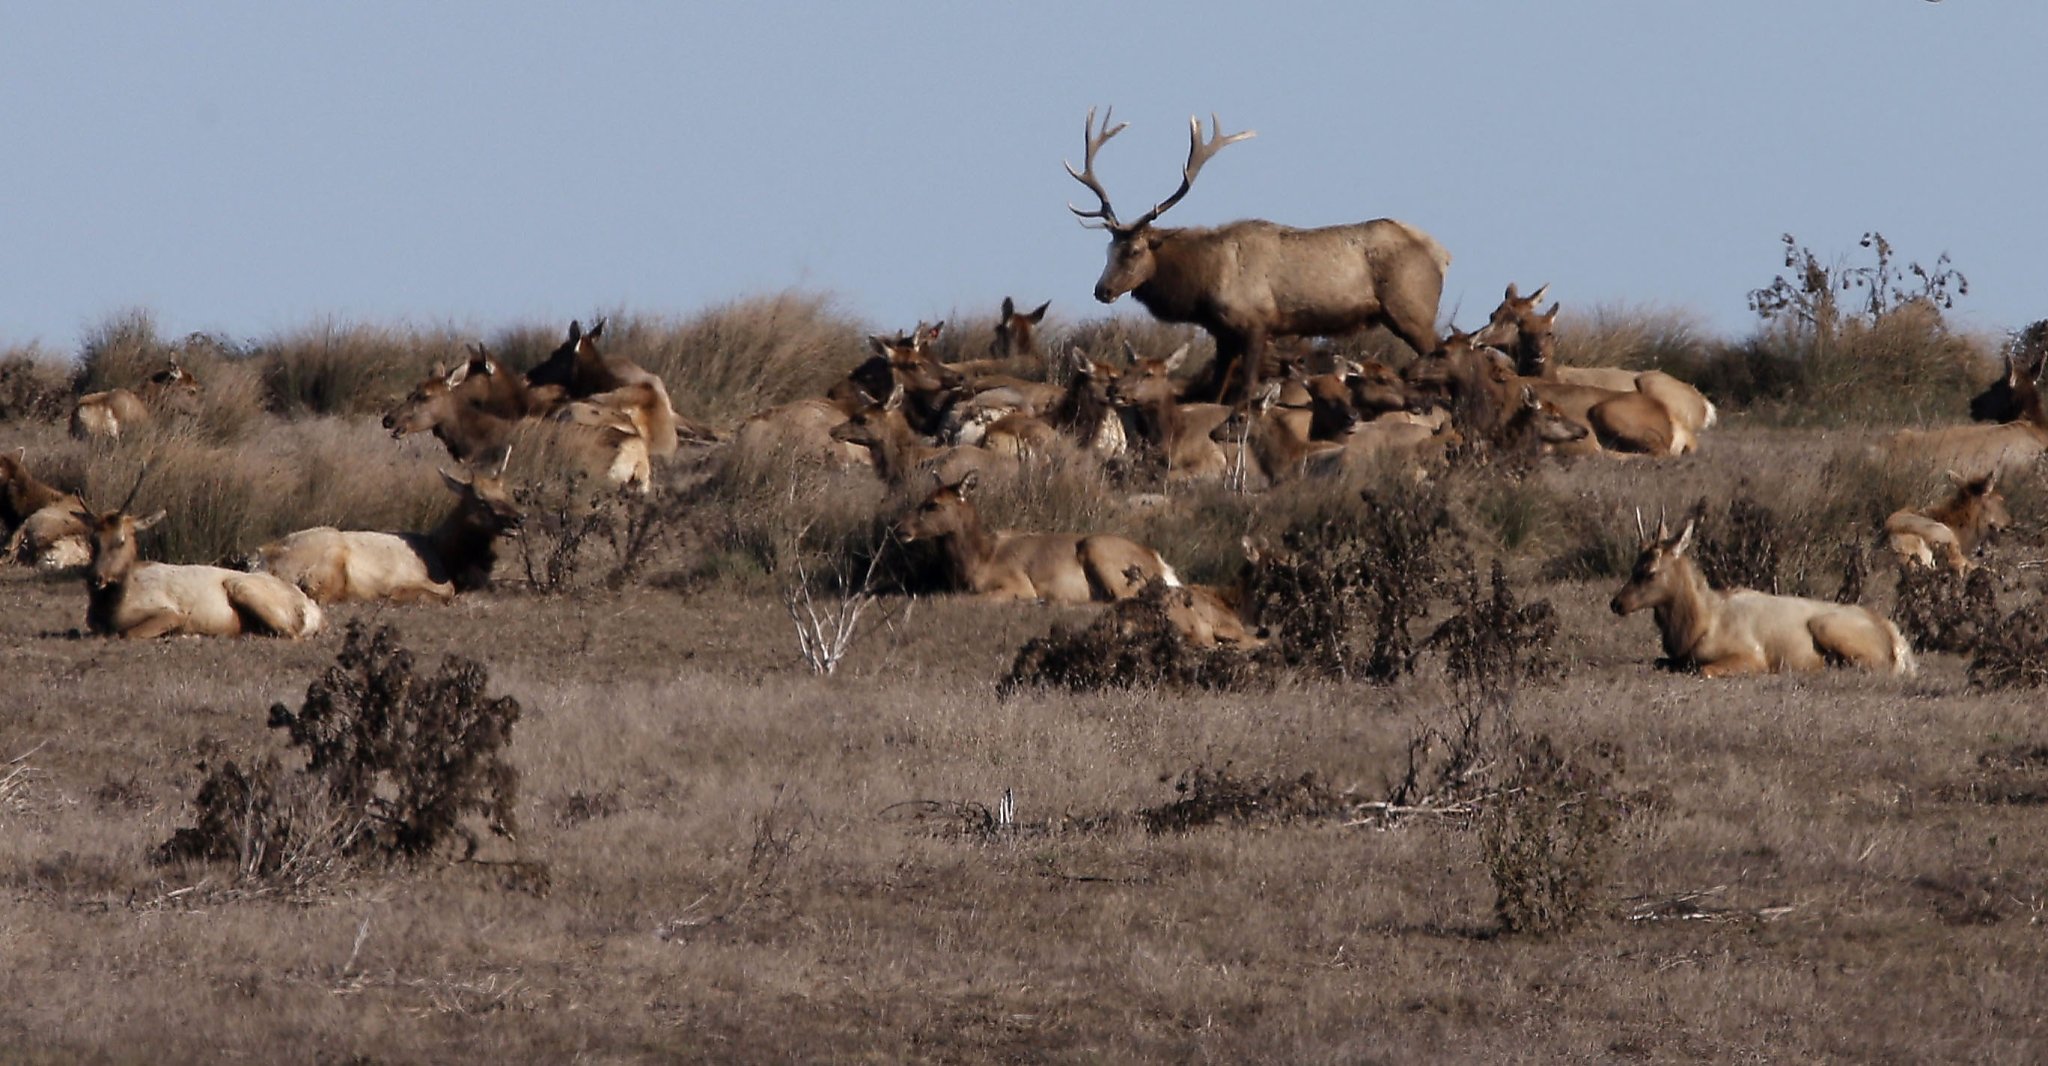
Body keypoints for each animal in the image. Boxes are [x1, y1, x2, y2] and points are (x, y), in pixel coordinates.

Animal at [252, 466, 524, 604]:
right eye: (481, 500)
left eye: (506, 493)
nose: (518, 518)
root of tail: (260, 558)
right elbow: (441, 593)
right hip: (329, 557)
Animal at [894, 471, 1178, 604]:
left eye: (933, 504)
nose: (900, 528)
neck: (978, 559)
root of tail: (1160, 564)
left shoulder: (1017, 582)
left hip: (1099, 549)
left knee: (1122, 598)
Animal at [1066, 107, 1449, 407]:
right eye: (1108, 250)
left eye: (1133, 250)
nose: (1102, 290)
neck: (1204, 284)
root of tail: (1442, 254)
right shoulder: (1223, 334)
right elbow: (1215, 392)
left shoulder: (1256, 324)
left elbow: (1246, 388)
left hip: (1412, 311)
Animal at [1610, 513, 1913, 677]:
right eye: (1633, 566)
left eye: (1649, 571)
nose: (1617, 603)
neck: (1697, 625)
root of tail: (1896, 639)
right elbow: (1660, 661)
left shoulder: (1751, 655)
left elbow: (1704, 669)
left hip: (1828, 625)